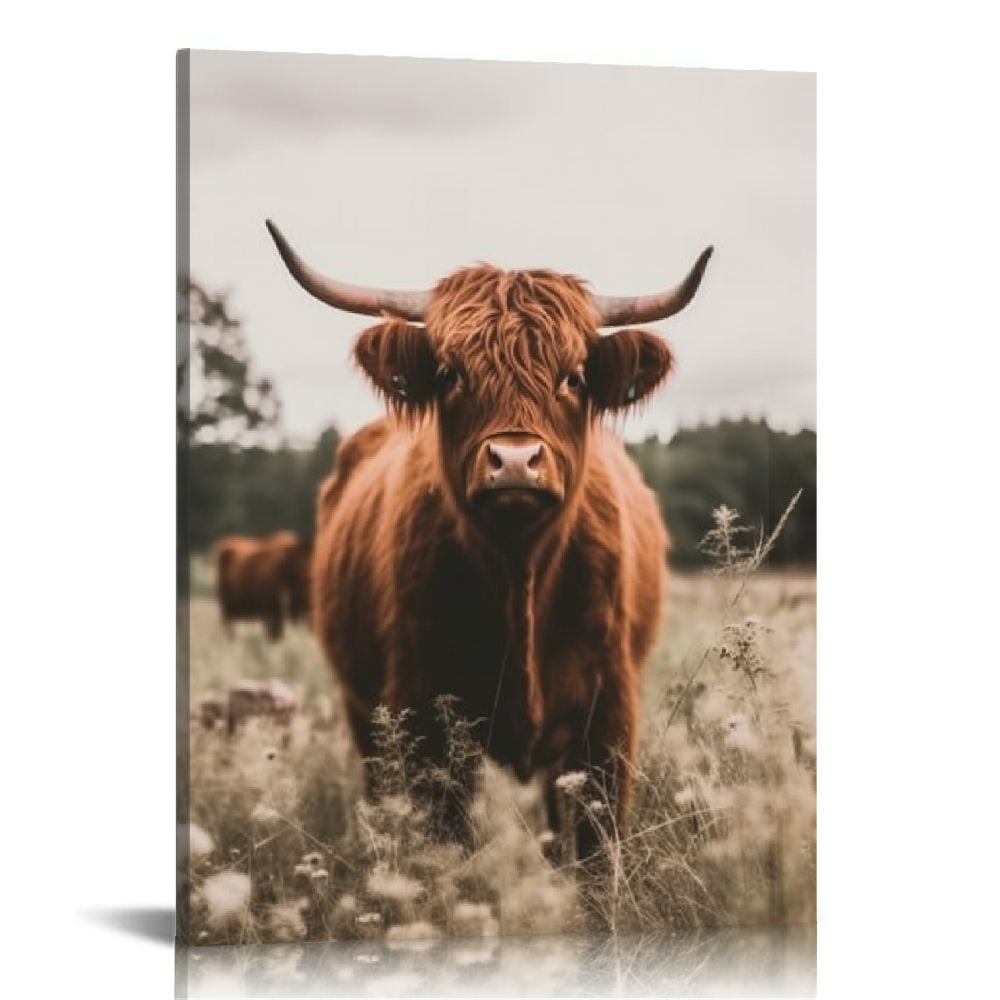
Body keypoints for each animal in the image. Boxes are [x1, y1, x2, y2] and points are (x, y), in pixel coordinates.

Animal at [265, 220, 712, 860]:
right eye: (452, 374)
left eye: (573, 376)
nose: (516, 461)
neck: (519, 569)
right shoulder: (424, 714)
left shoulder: (608, 718)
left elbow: (597, 847)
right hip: (363, 711)